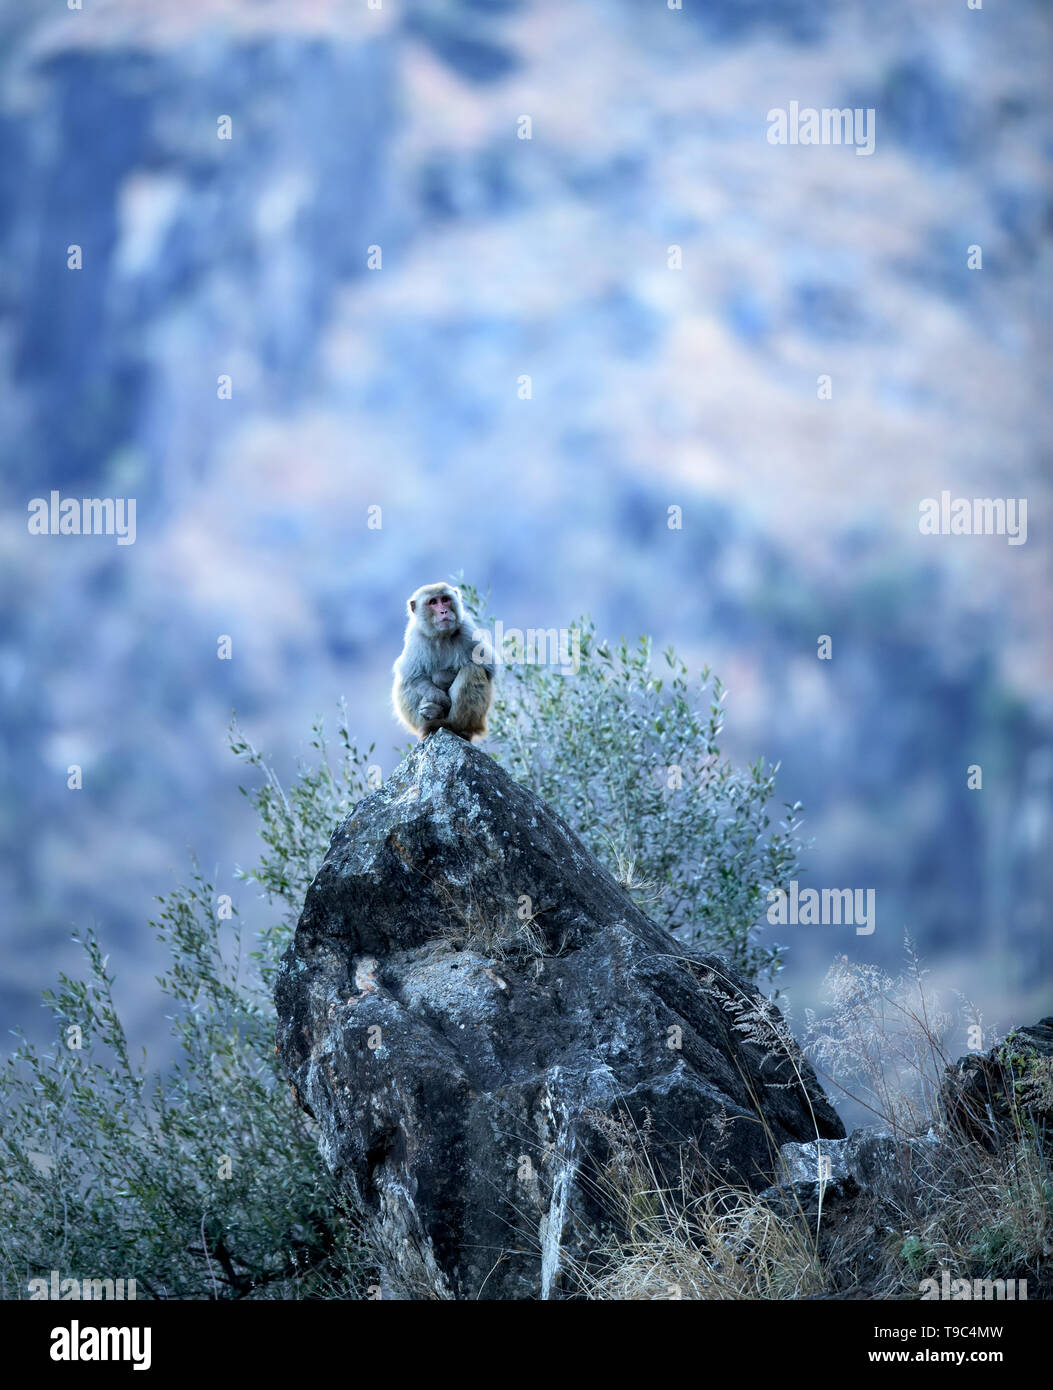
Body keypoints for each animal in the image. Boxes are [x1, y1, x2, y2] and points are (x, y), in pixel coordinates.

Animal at [392, 582, 494, 741]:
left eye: (445, 599)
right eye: (433, 602)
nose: (444, 611)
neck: (441, 636)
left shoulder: (467, 630)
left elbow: (489, 667)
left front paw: (441, 682)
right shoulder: (415, 637)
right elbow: (412, 675)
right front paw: (439, 698)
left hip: (476, 720)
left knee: (472, 669)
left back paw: (454, 725)